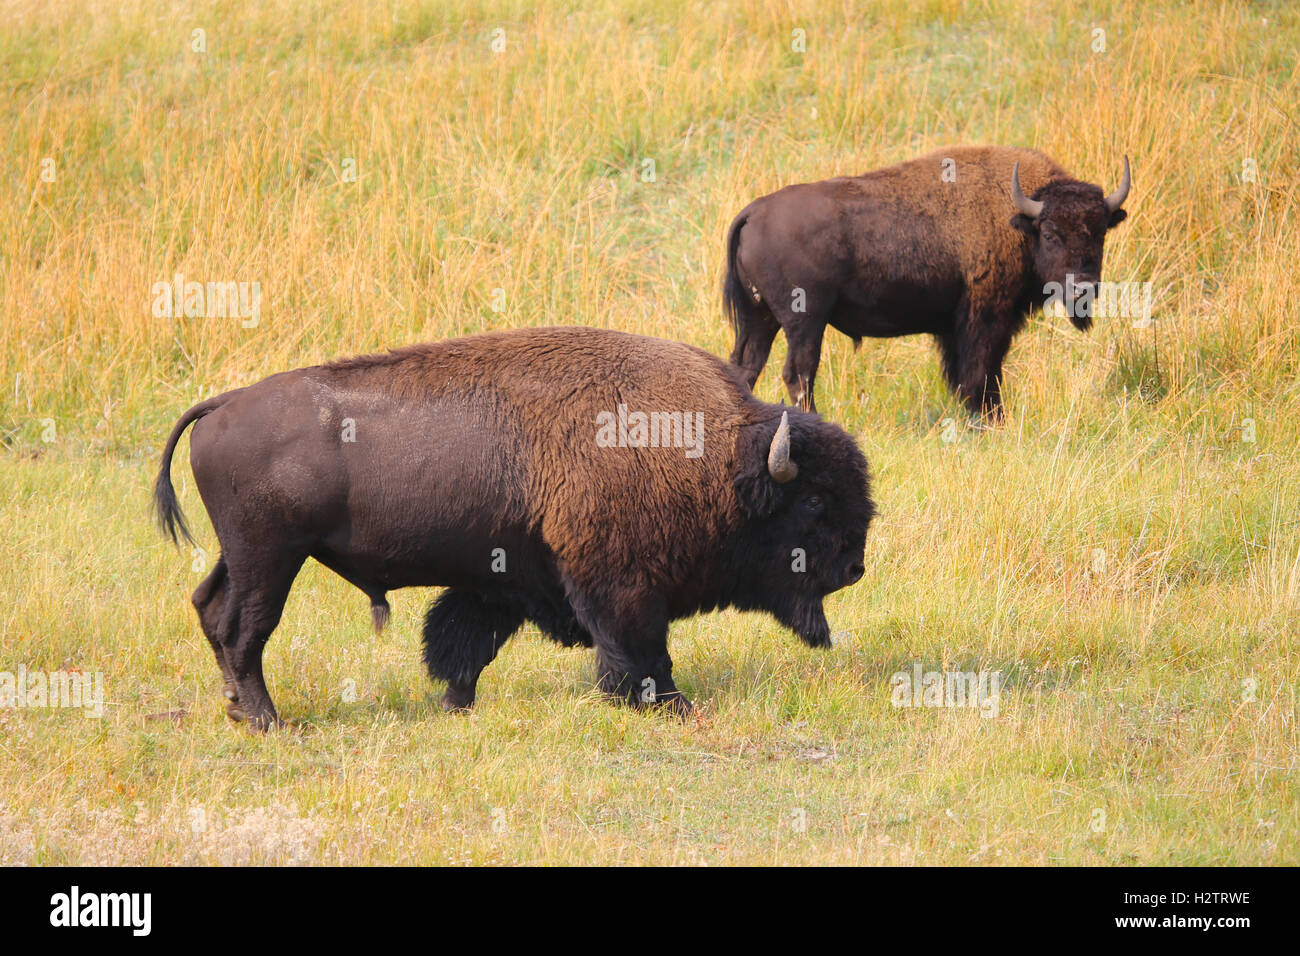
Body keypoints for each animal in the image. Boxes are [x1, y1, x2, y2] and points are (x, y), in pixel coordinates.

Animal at [153, 326, 874, 728]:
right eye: (814, 501)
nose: (854, 568)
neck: (716, 457)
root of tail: (222, 405)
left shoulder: (502, 580)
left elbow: (464, 642)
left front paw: (456, 702)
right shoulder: (619, 584)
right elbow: (639, 650)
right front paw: (670, 705)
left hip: (240, 556)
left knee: (209, 608)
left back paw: (238, 710)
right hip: (270, 557)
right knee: (244, 628)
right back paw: (267, 721)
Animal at [724, 145, 1131, 418]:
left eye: (1099, 233)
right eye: (1049, 234)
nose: (1083, 287)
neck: (1018, 219)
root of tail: (754, 211)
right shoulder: (986, 317)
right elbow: (981, 371)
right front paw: (988, 420)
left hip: (759, 319)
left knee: (746, 367)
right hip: (805, 321)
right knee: (799, 373)